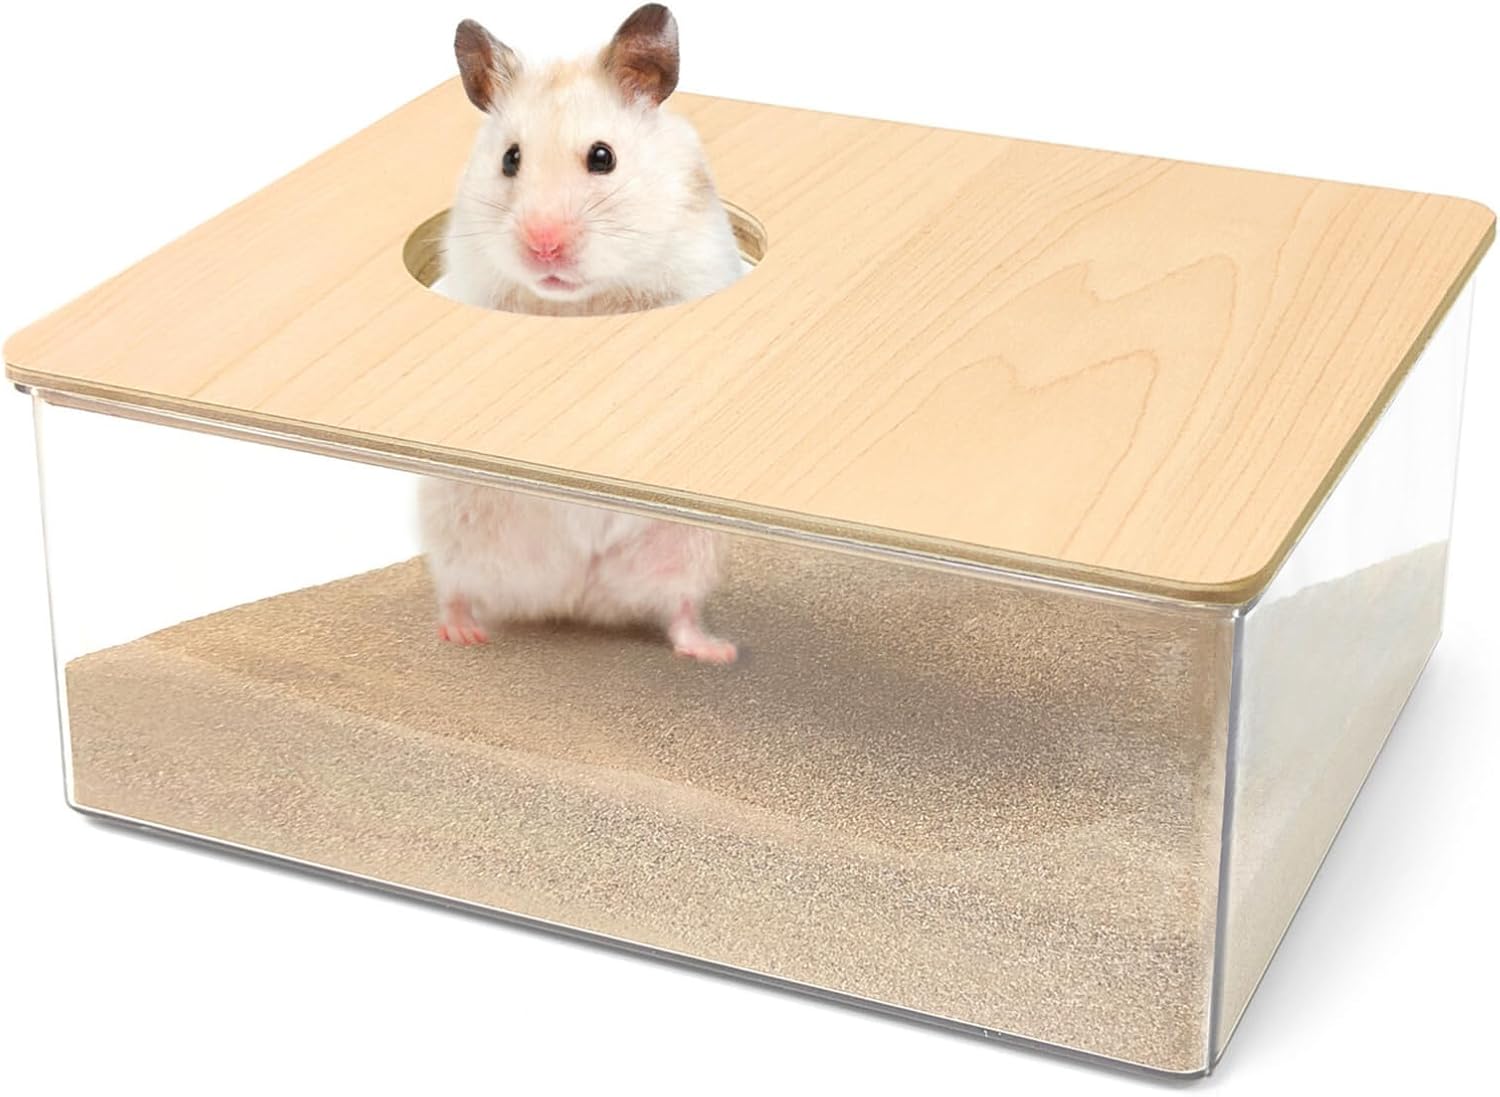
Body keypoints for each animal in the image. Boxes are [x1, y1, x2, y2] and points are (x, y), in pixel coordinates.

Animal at [418, 5, 743, 663]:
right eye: (510, 159)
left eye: (602, 156)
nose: (543, 246)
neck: (579, 302)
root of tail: (577, 593)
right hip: (456, 524)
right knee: (456, 588)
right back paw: (462, 633)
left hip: (691, 546)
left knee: (679, 610)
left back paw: (716, 651)